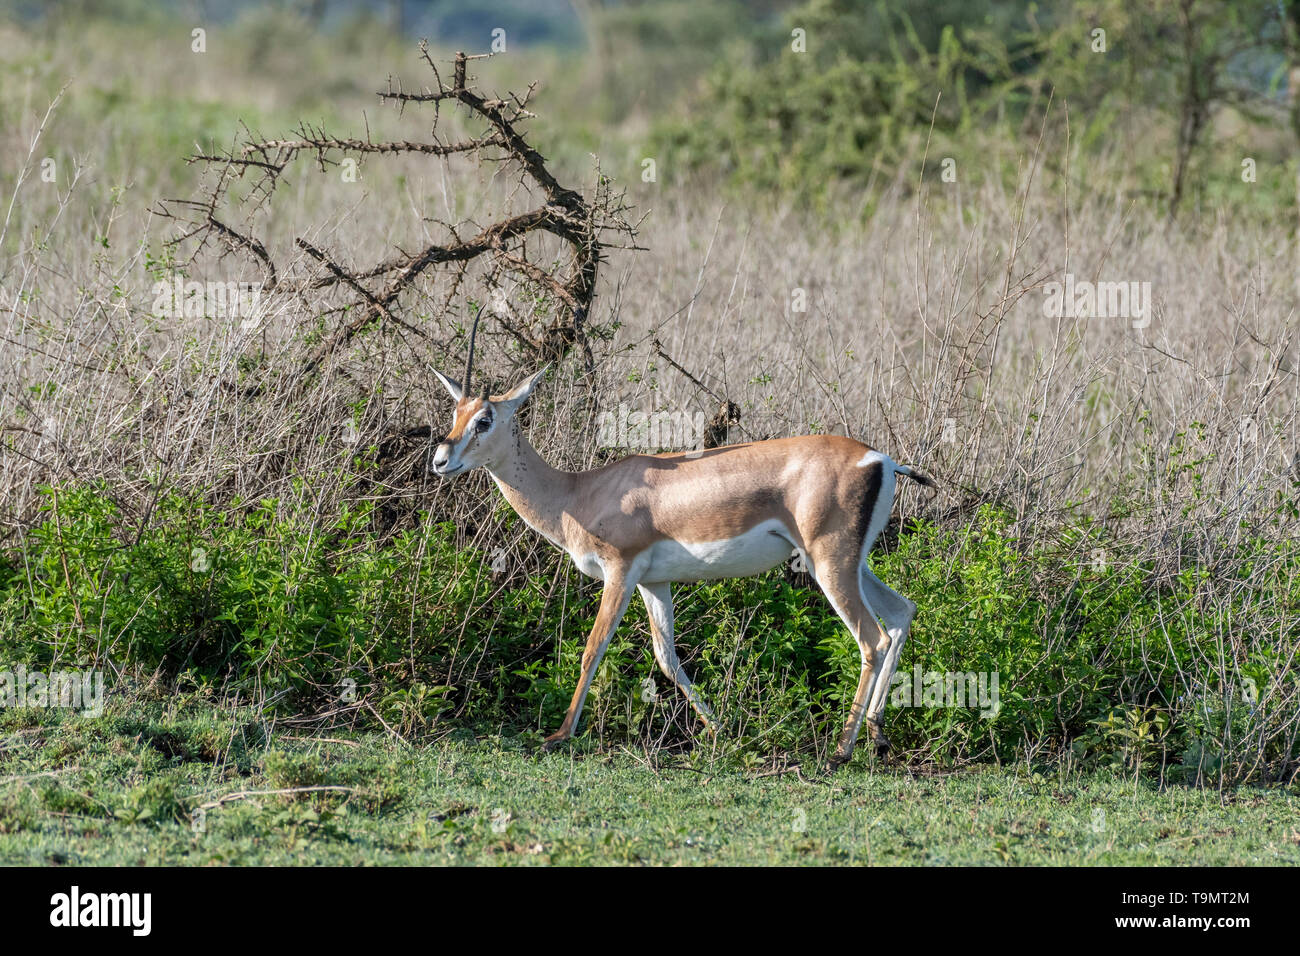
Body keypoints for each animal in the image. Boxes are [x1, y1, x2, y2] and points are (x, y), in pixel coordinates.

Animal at [430, 313, 935, 769]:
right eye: (455, 413)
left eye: (485, 419)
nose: (440, 460)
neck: (579, 492)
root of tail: (881, 460)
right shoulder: (654, 583)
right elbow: (667, 658)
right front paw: (720, 730)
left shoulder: (620, 572)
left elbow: (593, 647)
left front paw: (559, 734)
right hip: (851, 563)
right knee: (900, 614)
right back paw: (878, 739)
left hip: (828, 563)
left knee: (871, 638)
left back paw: (840, 751)